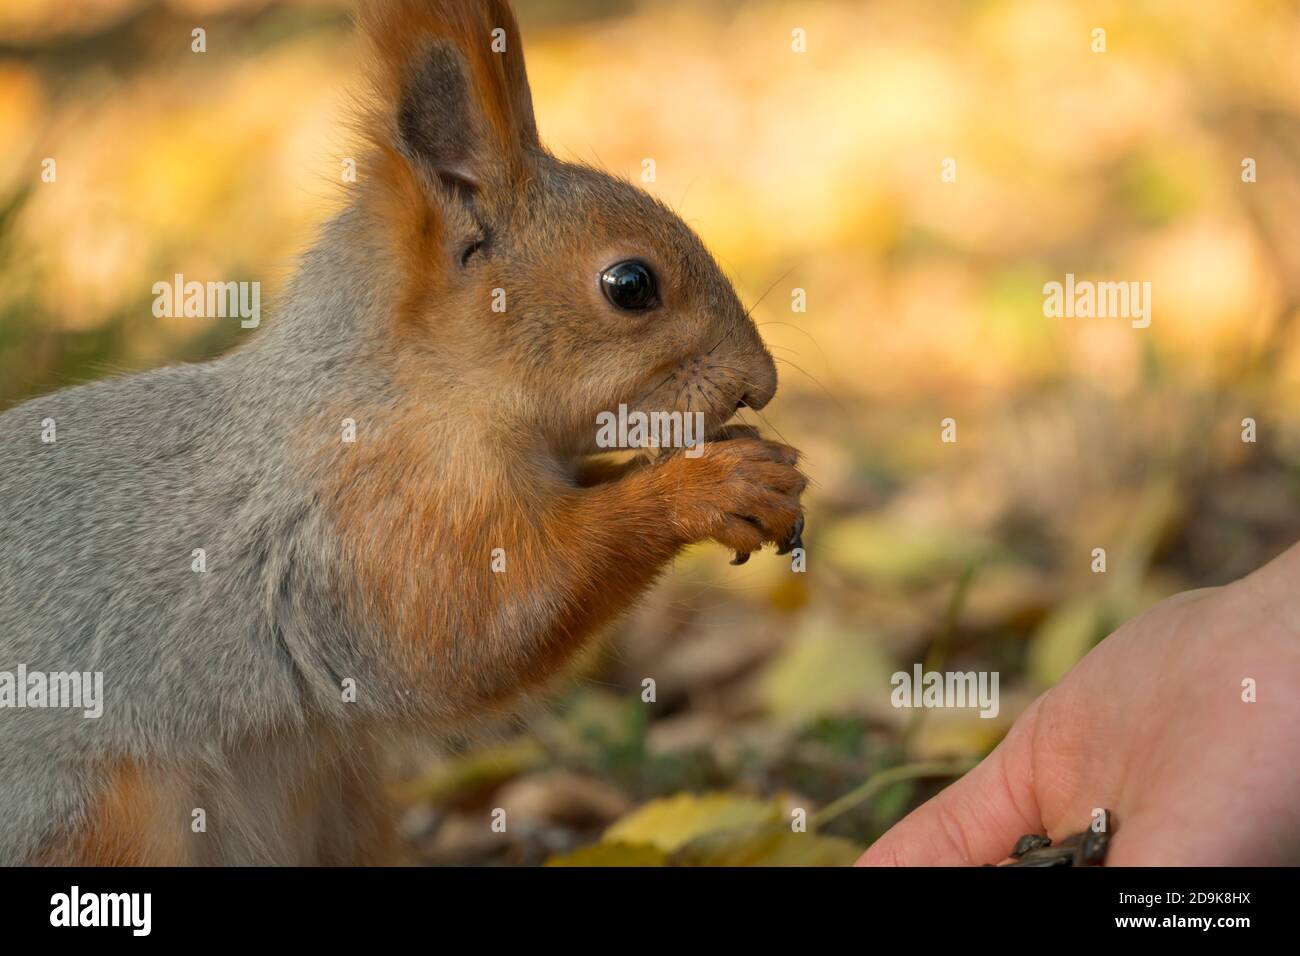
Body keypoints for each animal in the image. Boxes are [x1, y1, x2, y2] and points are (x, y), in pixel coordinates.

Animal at [0, 0, 806, 865]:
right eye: (630, 284)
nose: (761, 383)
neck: (417, 392)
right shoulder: (371, 524)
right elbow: (469, 630)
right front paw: (710, 486)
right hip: (102, 820)